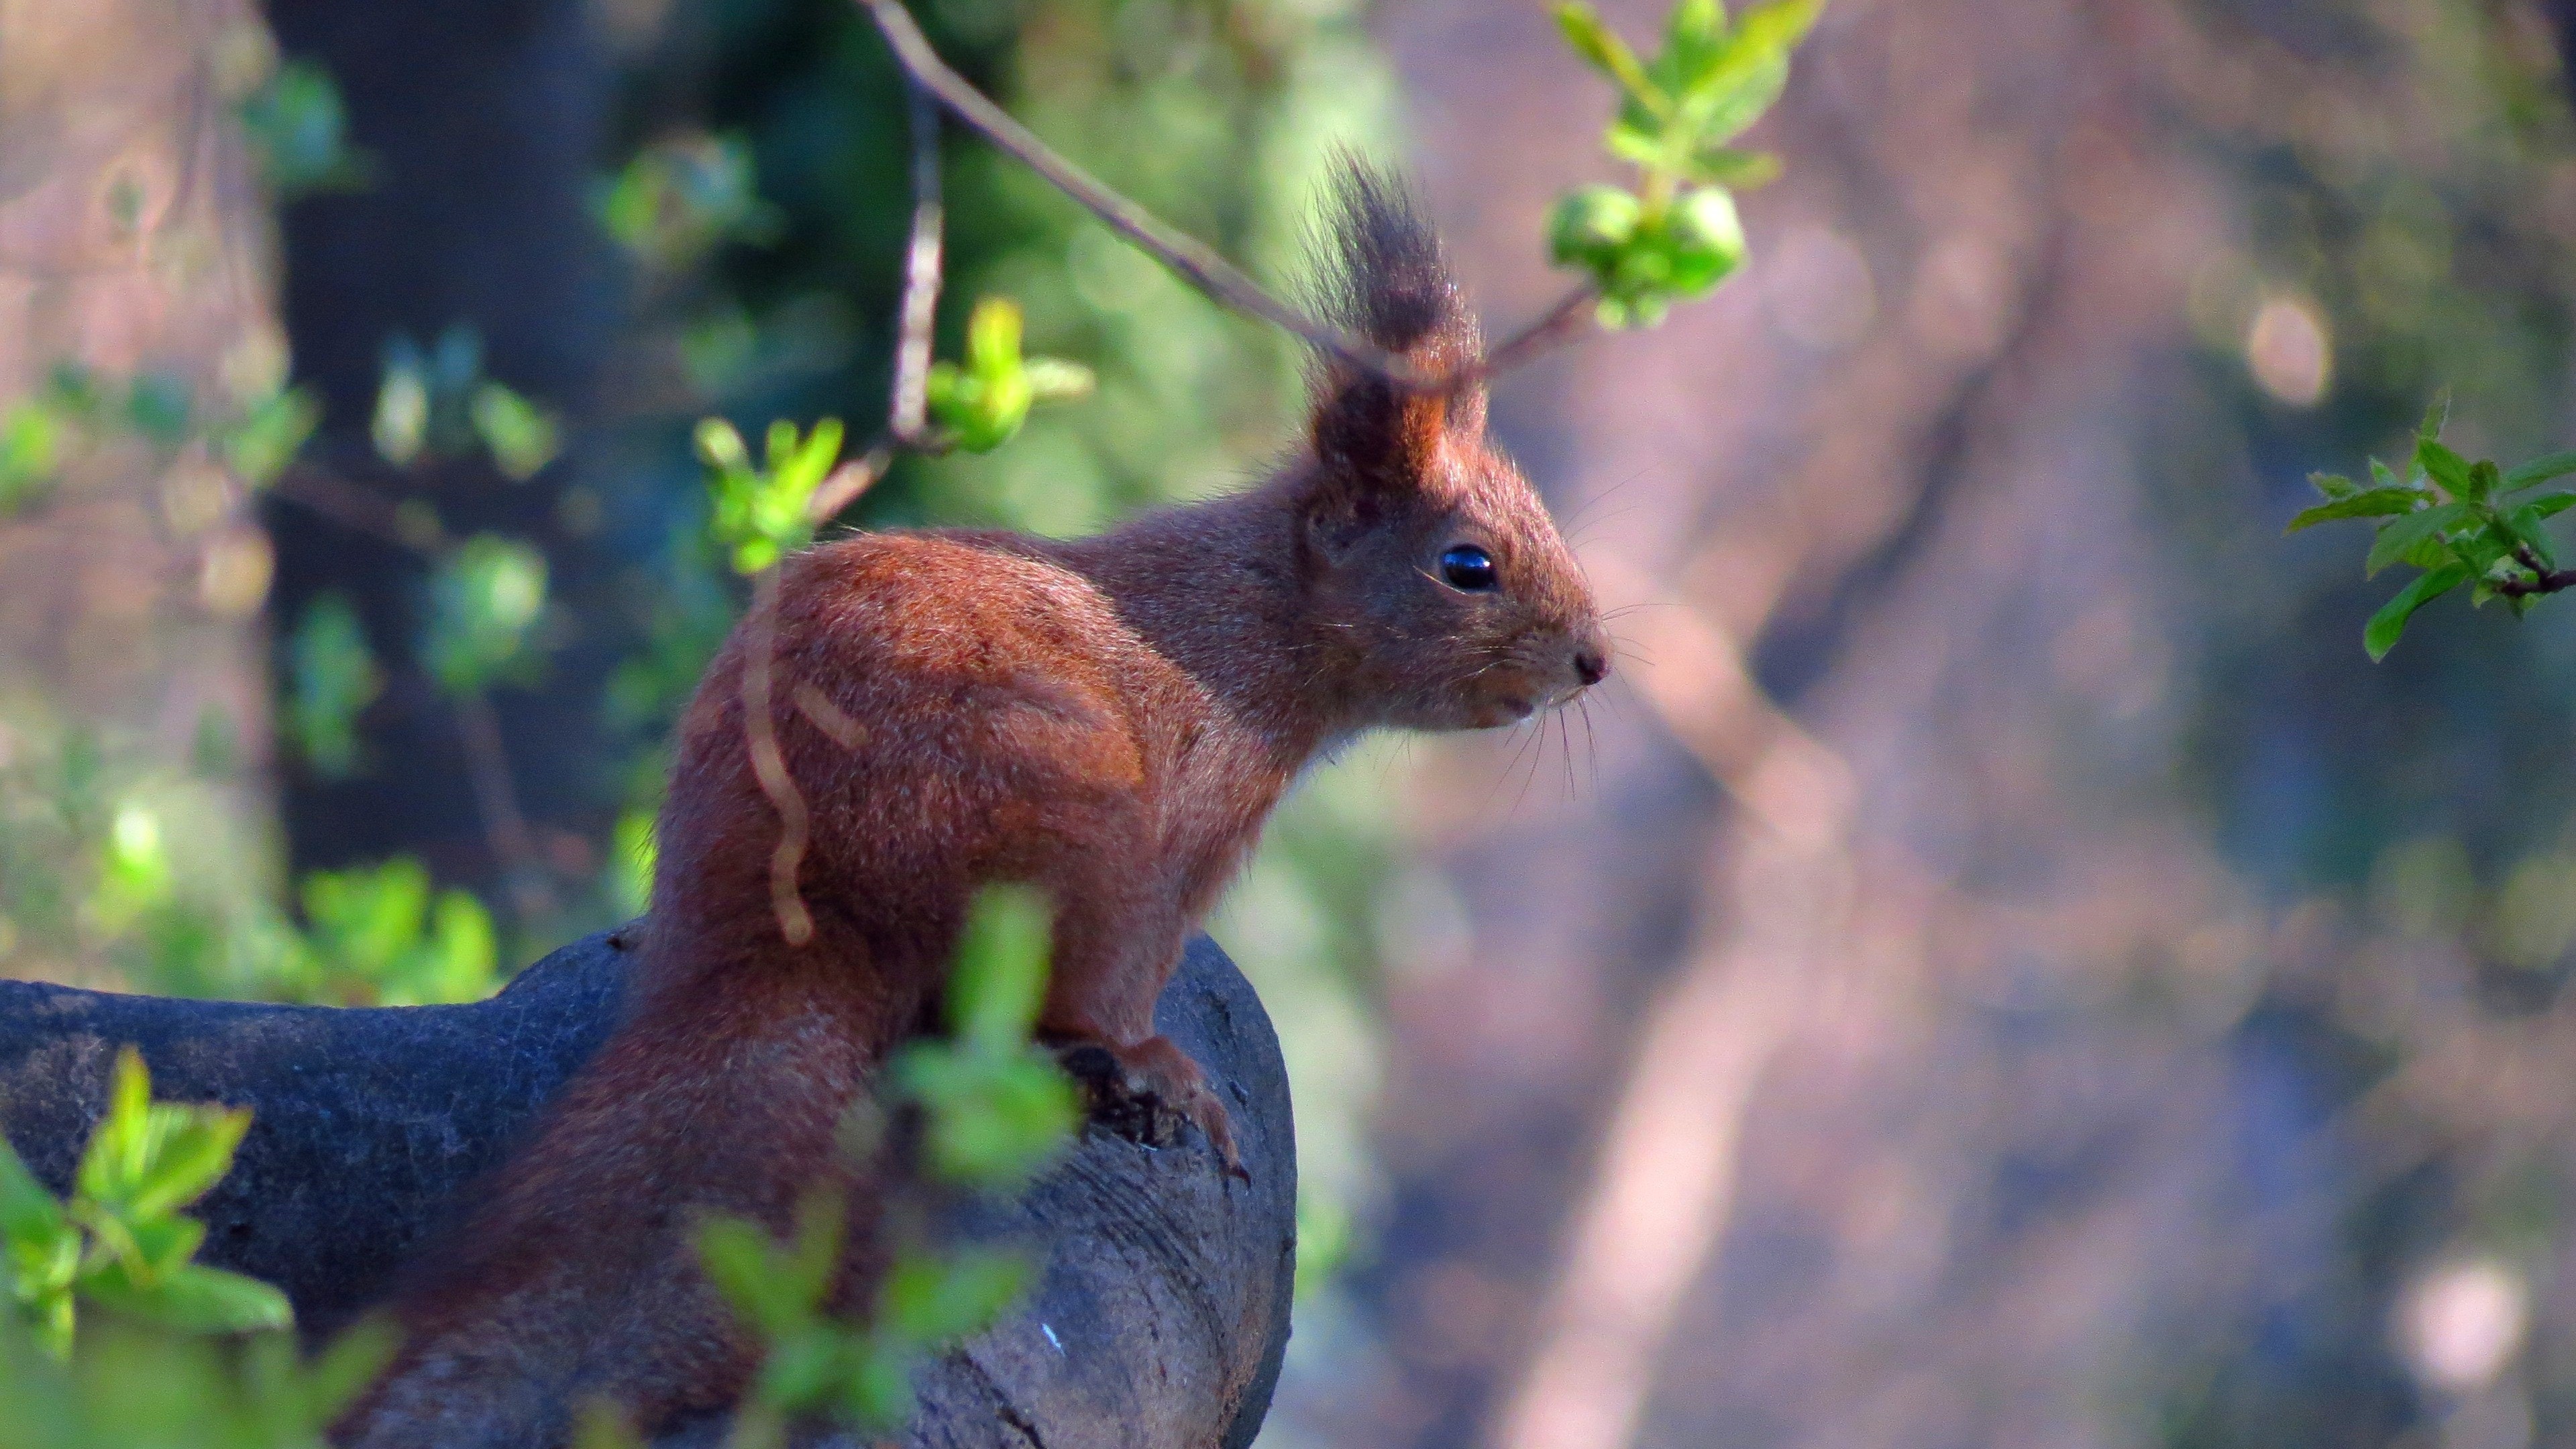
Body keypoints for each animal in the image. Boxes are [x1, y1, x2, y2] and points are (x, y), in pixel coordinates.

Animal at [337, 164, 1609, 1448]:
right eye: (1468, 567)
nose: (1593, 661)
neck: (1252, 621)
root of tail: (814, 900)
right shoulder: (1193, 821)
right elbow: (1130, 973)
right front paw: (1155, 1058)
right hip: (1074, 835)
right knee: (1064, 997)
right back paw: (1139, 1064)